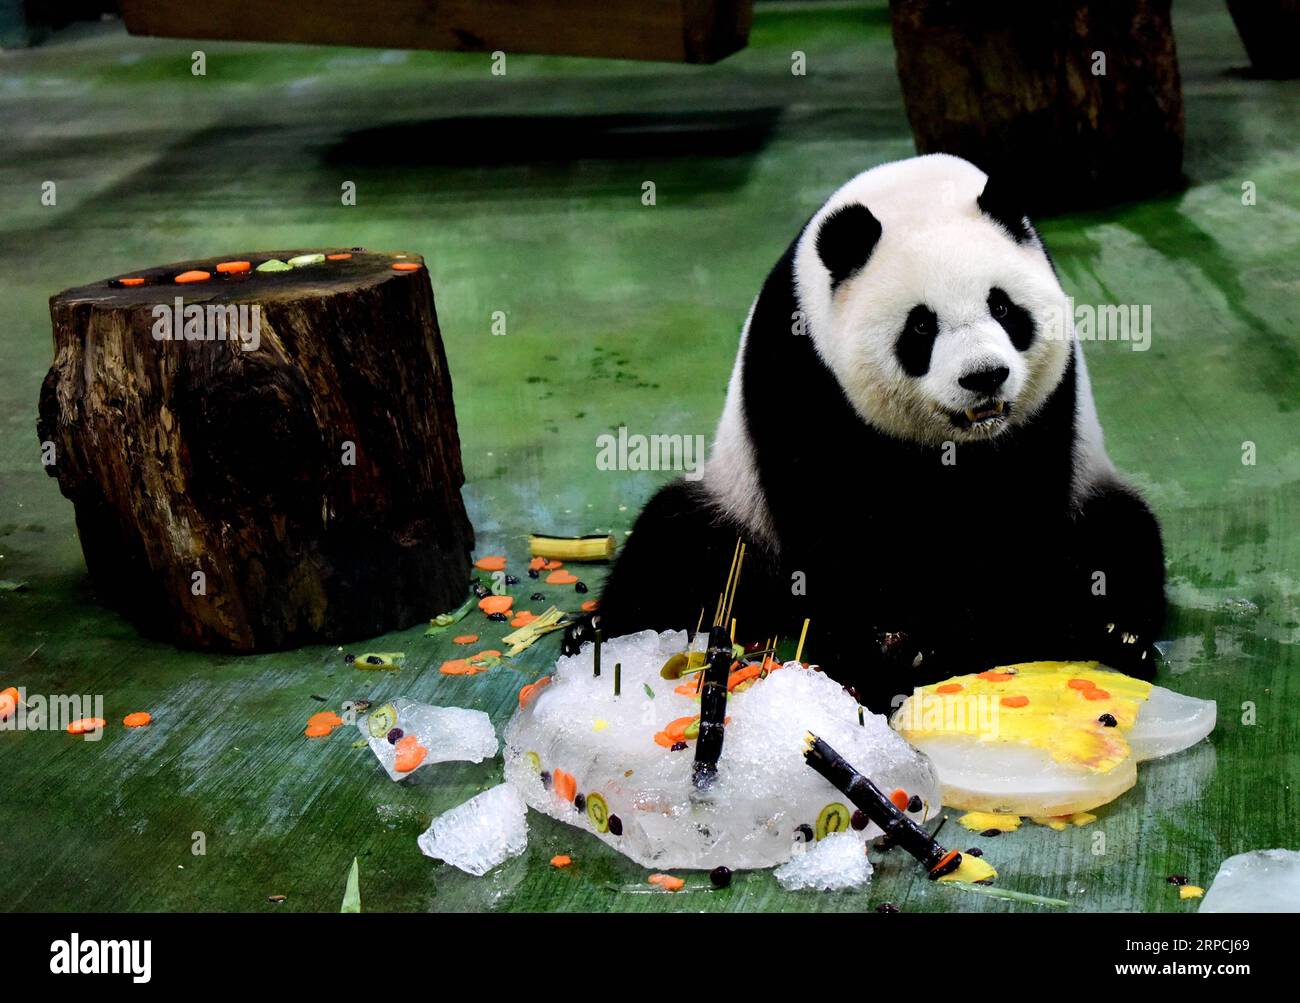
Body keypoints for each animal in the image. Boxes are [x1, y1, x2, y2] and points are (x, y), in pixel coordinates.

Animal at [581, 154, 1166, 712]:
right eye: (922, 326)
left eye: (1002, 307)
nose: (984, 376)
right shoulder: (800, 366)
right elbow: (833, 520)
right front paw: (888, 650)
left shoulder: (1048, 407)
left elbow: (1018, 516)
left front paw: (989, 631)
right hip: (739, 505)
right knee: (681, 545)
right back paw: (597, 632)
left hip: (1090, 488)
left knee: (1120, 532)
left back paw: (1116, 633)